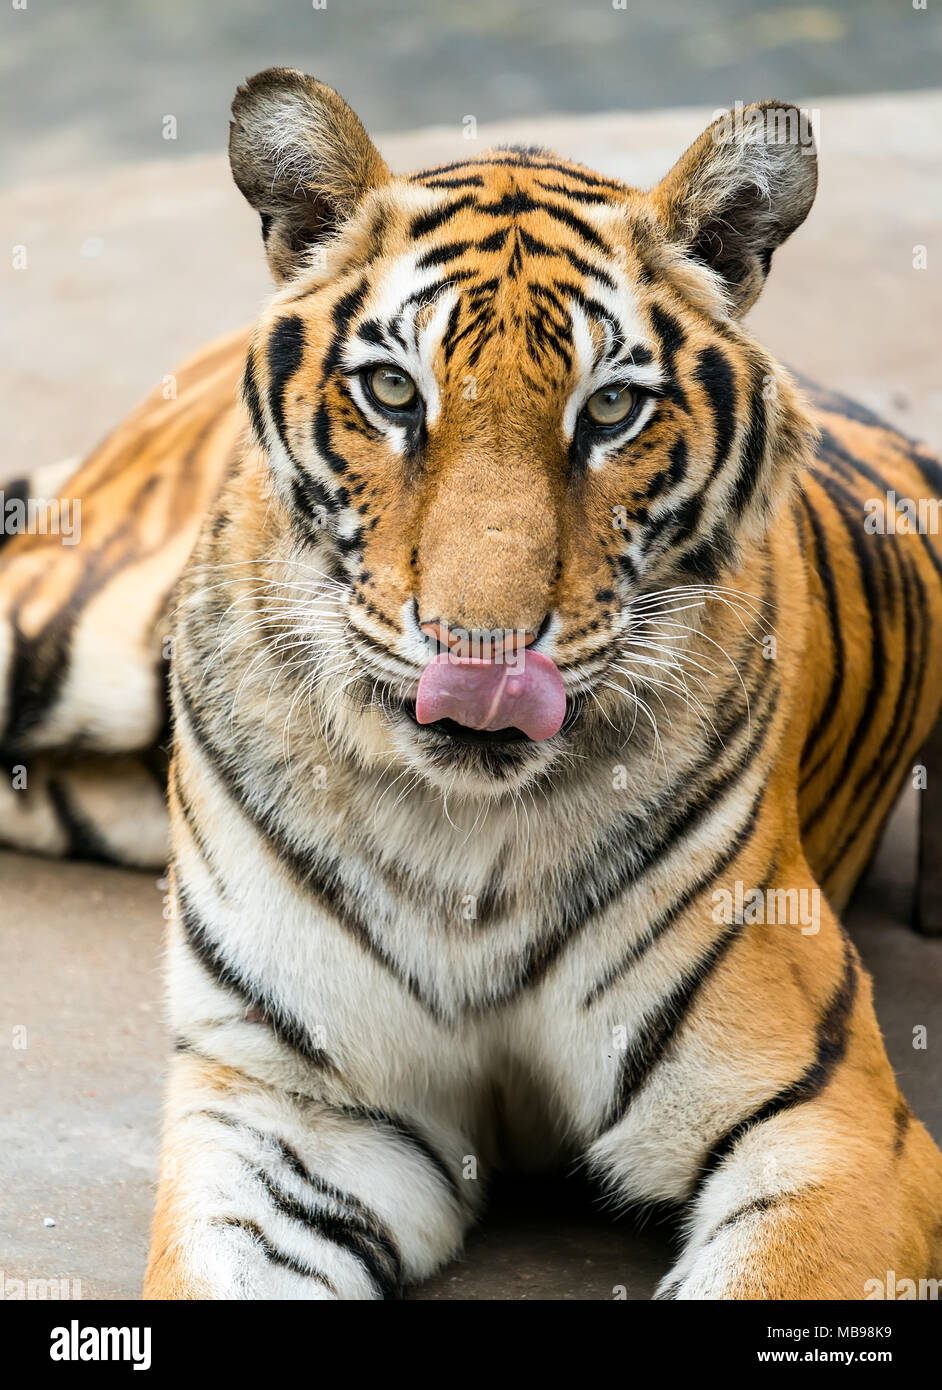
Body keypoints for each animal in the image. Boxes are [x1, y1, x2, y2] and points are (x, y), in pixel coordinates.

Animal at [3, 69, 942, 1300]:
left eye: (610, 409)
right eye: (394, 392)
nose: (483, 654)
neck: (465, 840)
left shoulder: (822, 1120)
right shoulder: (294, 1107)